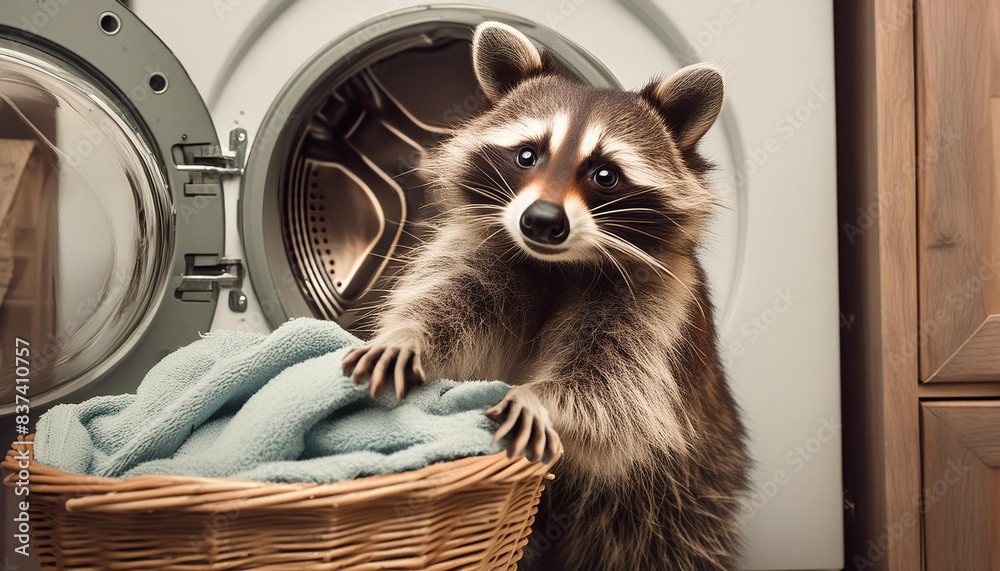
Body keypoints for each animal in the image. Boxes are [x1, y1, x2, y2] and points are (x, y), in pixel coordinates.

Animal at [343, 21, 750, 571]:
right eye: (527, 154)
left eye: (605, 174)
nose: (540, 221)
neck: (558, 267)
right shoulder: (485, 248)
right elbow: (449, 306)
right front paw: (406, 334)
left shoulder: (656, 301)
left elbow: (615, 390)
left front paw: (539, 397)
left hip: (681, 496)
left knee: (666, 541)